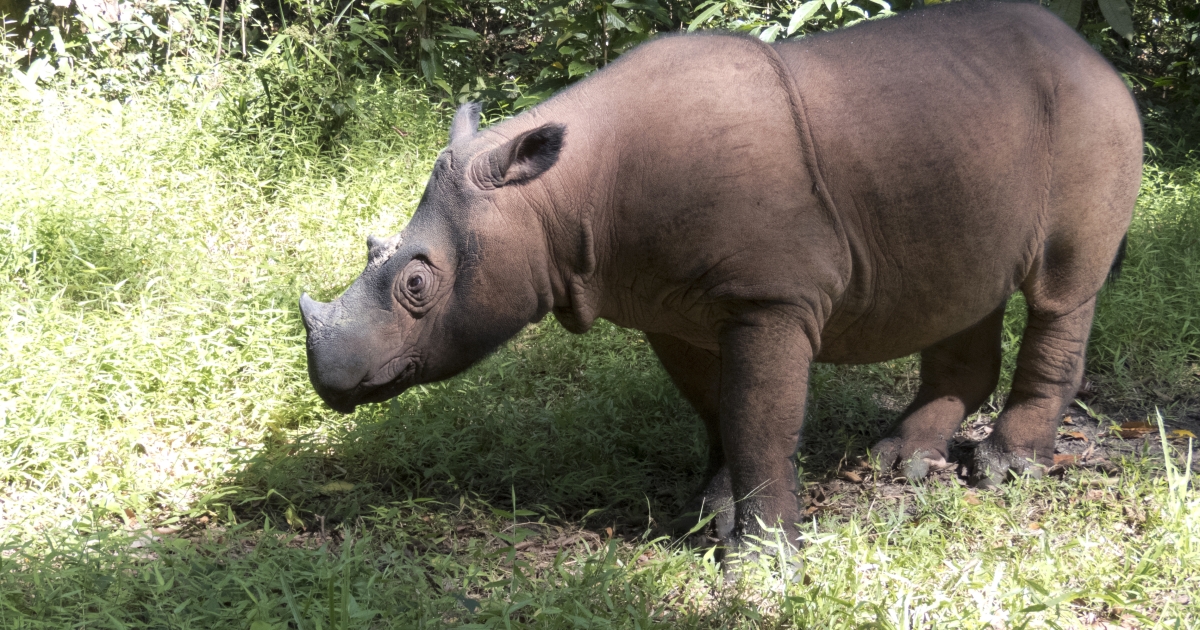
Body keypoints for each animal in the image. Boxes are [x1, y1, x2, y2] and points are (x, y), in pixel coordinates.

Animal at [300, 0, 1141, 566]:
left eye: (416, 285)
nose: (328, 380)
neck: (554, 197)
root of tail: (1094, 54)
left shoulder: (770, 298)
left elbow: (758, 418)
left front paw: (762, 560)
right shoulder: (669, 307)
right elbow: (718, 412)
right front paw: (707, 520)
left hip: (1093, 116)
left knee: (1062, 290)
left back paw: (1005, 472)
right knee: (965, 285)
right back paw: (897, 462)